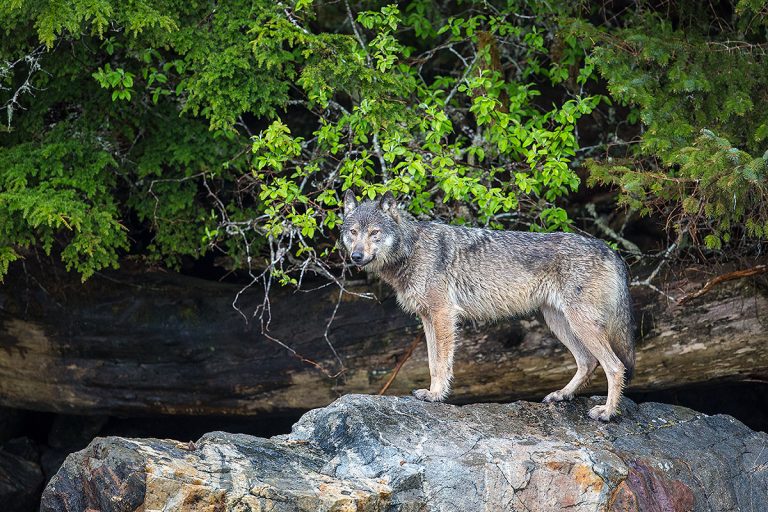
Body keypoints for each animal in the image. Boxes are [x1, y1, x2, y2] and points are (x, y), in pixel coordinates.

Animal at [340, 190, 635, 421]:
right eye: (353, 232)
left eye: (374, 233)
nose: (356, 256)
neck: (411, 250)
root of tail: (611, 250)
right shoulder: (427, 318)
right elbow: (433, 362)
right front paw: (433, 392)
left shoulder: (443, 314)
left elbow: (441, 363)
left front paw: (436, 395)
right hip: (558, 322)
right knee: (588, 362)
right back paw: (562, 395)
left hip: (579, 323)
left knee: (614, 366)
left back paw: (607, 413)